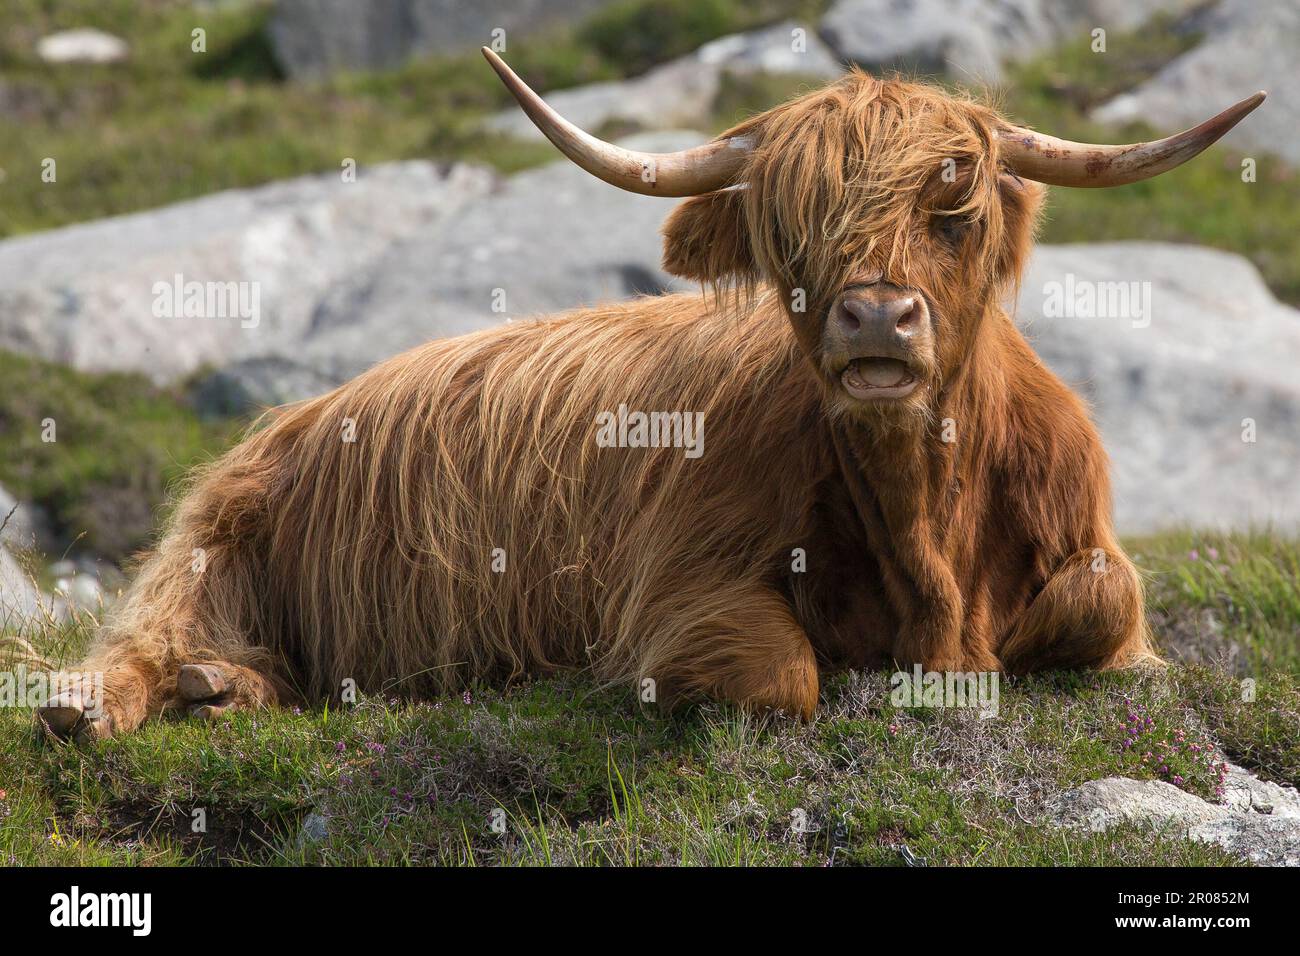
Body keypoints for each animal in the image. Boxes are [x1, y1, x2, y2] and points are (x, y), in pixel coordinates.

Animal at [37, 50, 1264, 741]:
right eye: (789, 233)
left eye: (952, 210)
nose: (874, 321)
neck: (928, 534)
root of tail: (292, 418)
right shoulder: (680, 578)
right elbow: (781, 675)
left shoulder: (1090, 552)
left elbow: (1098, 600)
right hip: (218, 529)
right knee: (145, 628)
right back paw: (103, 701)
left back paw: (223, 689)